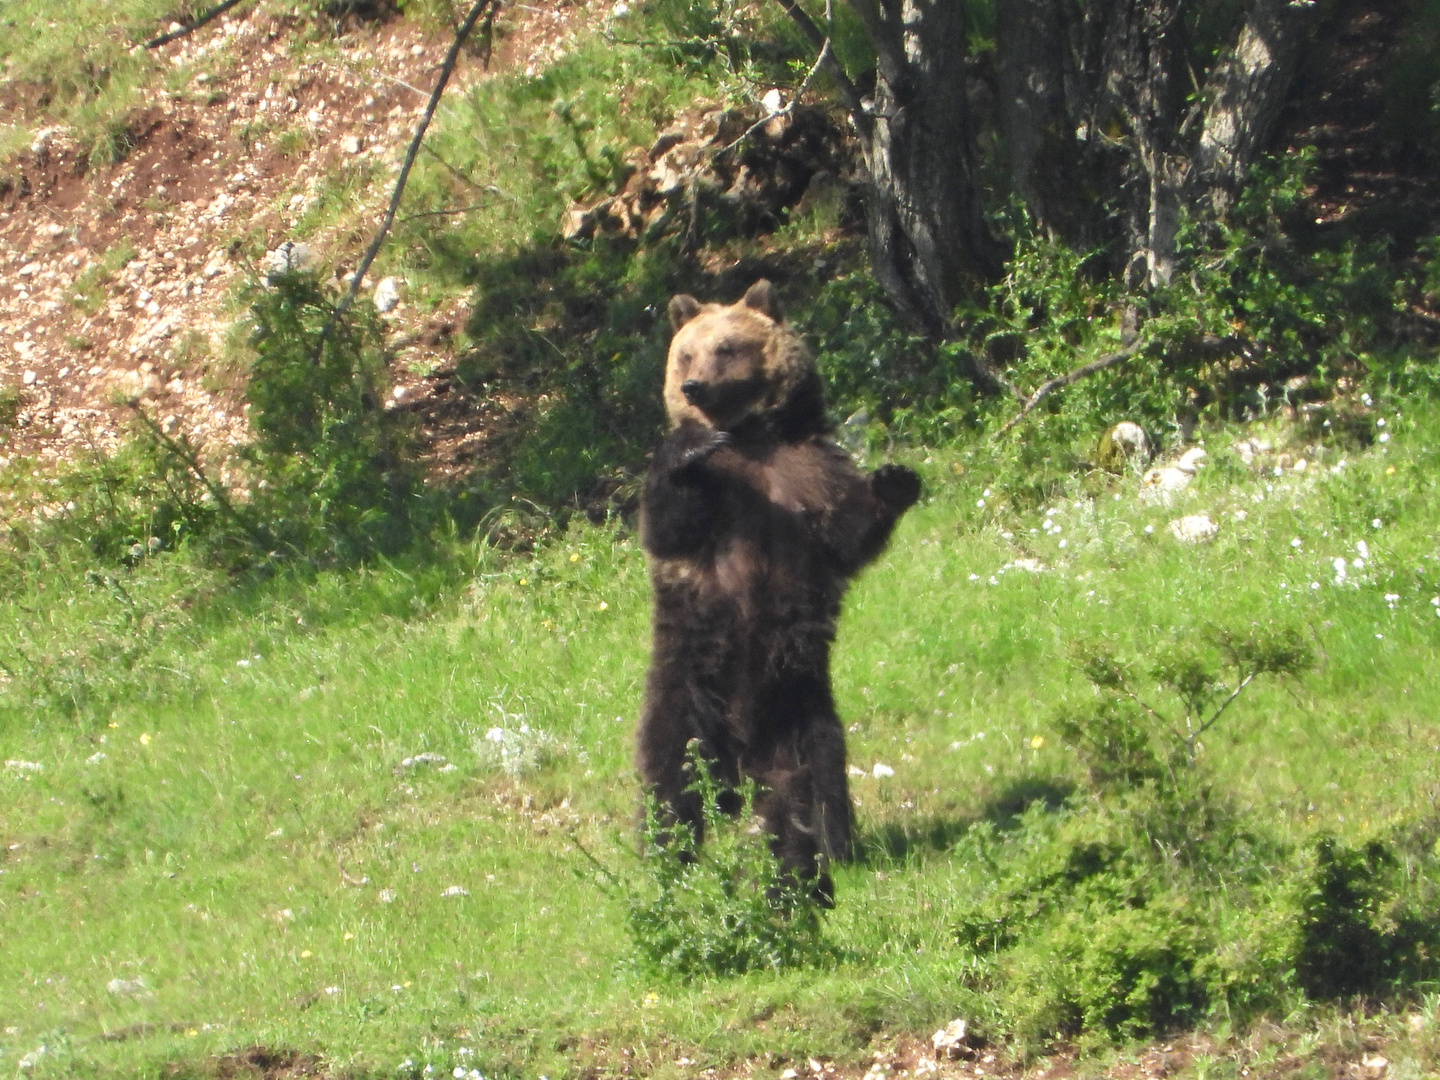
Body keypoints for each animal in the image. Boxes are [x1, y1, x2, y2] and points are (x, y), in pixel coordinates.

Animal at [639, 279, 921, 904]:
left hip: (801, 704)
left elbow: (849, 532)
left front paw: (896, 480)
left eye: (725, 348)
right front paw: (687, 448)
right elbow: (668, 522)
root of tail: (740, 765)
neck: (751, 441)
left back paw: (832, 849)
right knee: (670, 773)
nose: (694, 386)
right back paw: (666, 854)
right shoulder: (716, 497)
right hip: (689, 686)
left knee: (818, 778)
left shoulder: (809, 472)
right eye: (685, 354)